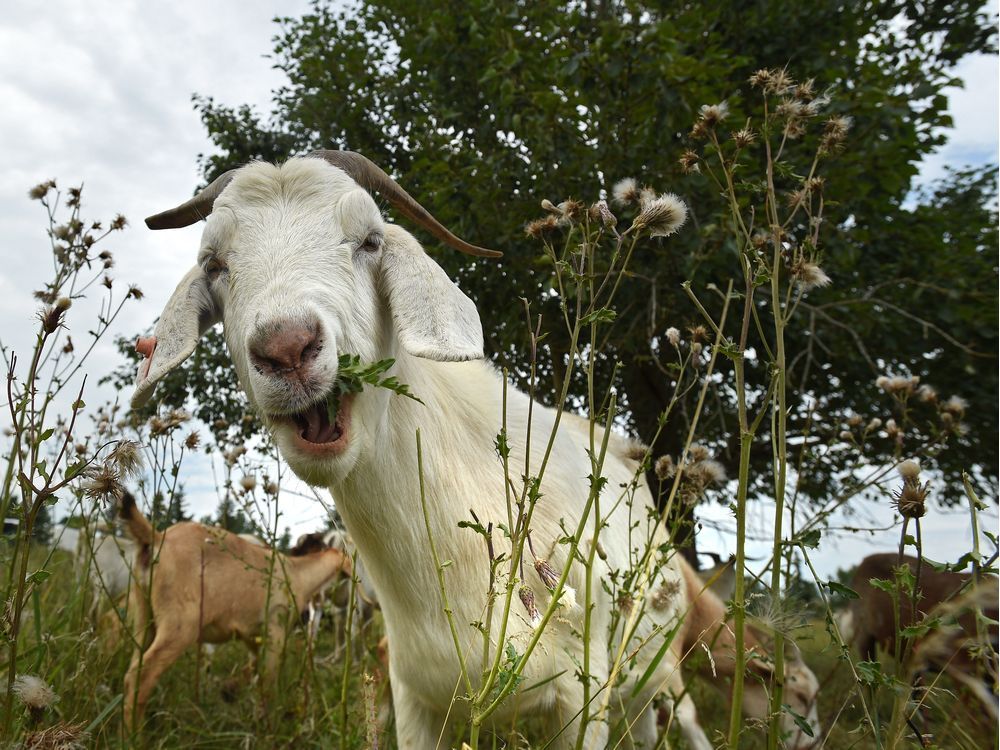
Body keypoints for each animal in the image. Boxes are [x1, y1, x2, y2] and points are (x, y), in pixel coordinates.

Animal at [118, 492, 351, 729]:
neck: (298, 573)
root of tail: (156, 538)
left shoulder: (252, 636)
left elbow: (256, 671)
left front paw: (234, 694)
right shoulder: (275, 630)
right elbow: (268, 682)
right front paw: (267, 725)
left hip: (144, 619)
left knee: (133, 670)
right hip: (180, 625)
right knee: (141, 676)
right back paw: (134, 734)